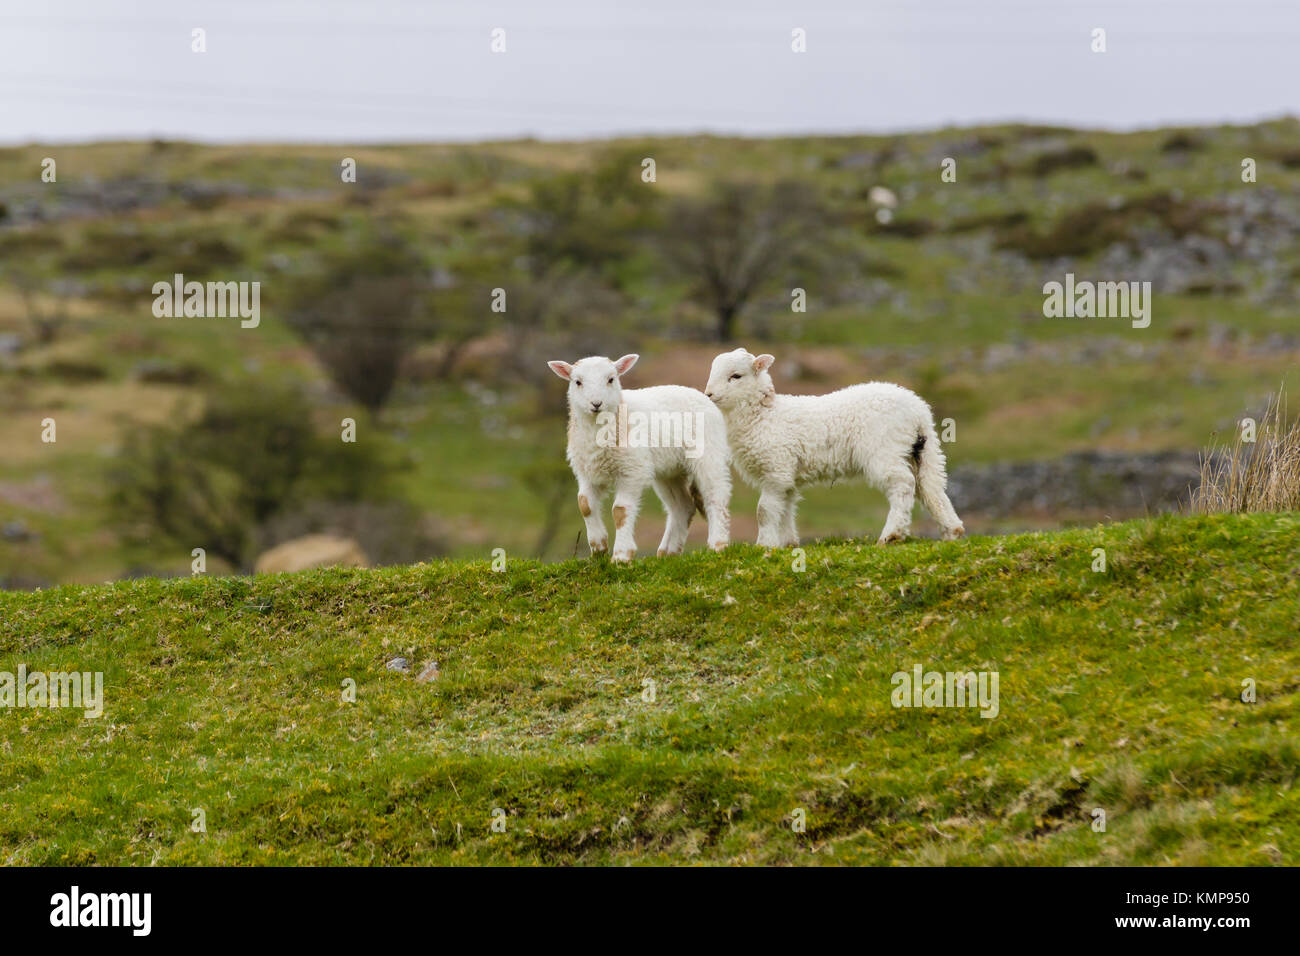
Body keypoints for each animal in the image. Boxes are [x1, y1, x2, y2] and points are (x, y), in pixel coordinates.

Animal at [547, 354, 731, 563]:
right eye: (577, 382)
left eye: (611, 379)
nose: (596, 404)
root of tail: (701, 394)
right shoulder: (586, 472)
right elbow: (584, 505)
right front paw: (598, 549)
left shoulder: (632, 470)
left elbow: (620, 511)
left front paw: (621, 556)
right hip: (669, 470)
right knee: (682, 507)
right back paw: (668, 554)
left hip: (708, 452)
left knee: (716, 494)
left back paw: (718, 544)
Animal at [704, 348, 965, 547]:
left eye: (736, 376)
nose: (708, 394)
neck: (763, 415)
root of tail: (918, 410)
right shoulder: (786, 476)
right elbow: (786, 510)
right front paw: (788, 544)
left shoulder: (776, 470)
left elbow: (764, 511)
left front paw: (764, 545)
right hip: (921, 451)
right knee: (931, 488)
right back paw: (952, 531)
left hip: (885, 450)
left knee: (904, 484)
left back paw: (890, 535)